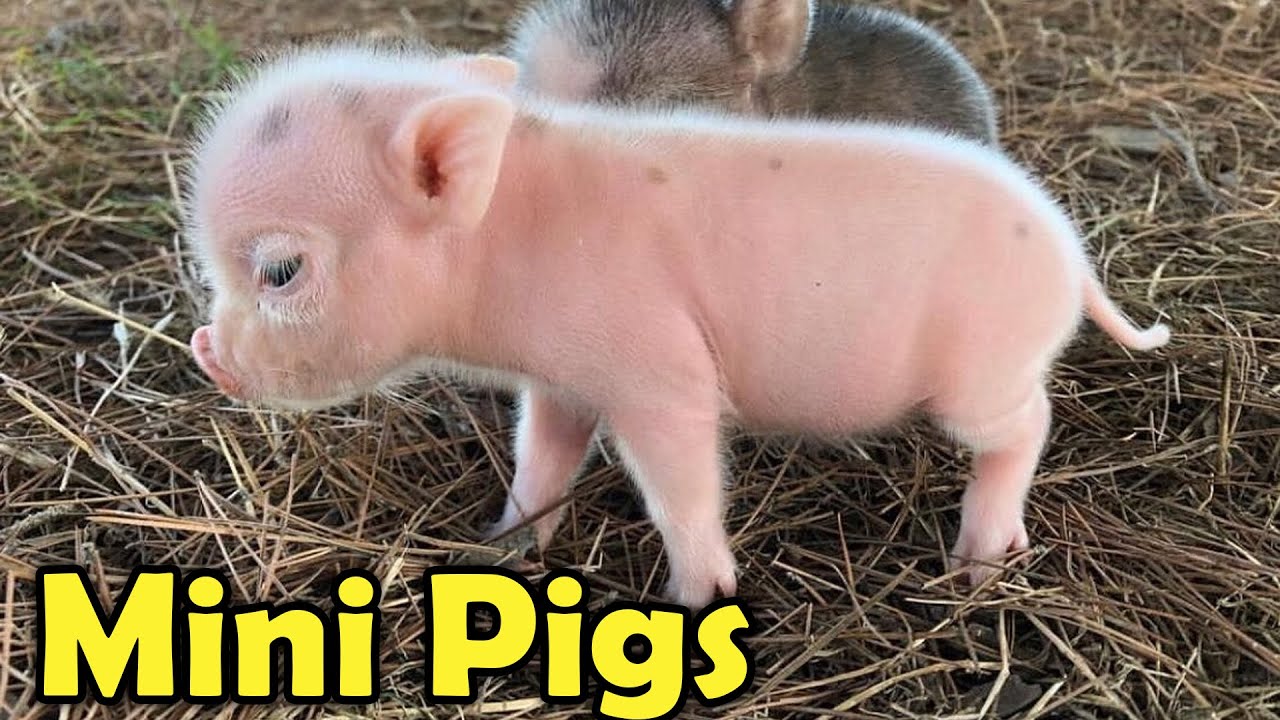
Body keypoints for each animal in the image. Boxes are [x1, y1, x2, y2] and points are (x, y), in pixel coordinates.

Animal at [185, 45, 1169, 608]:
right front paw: (503, 543)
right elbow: (541, 459)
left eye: (280, 270)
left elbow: (680, 487)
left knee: (1028, 425)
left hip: (982, 374)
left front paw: (694, 599)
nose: (204, 352)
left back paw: (976, 566)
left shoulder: (658, 374)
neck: (510, 239)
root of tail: (1070, 246)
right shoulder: (561, 379)